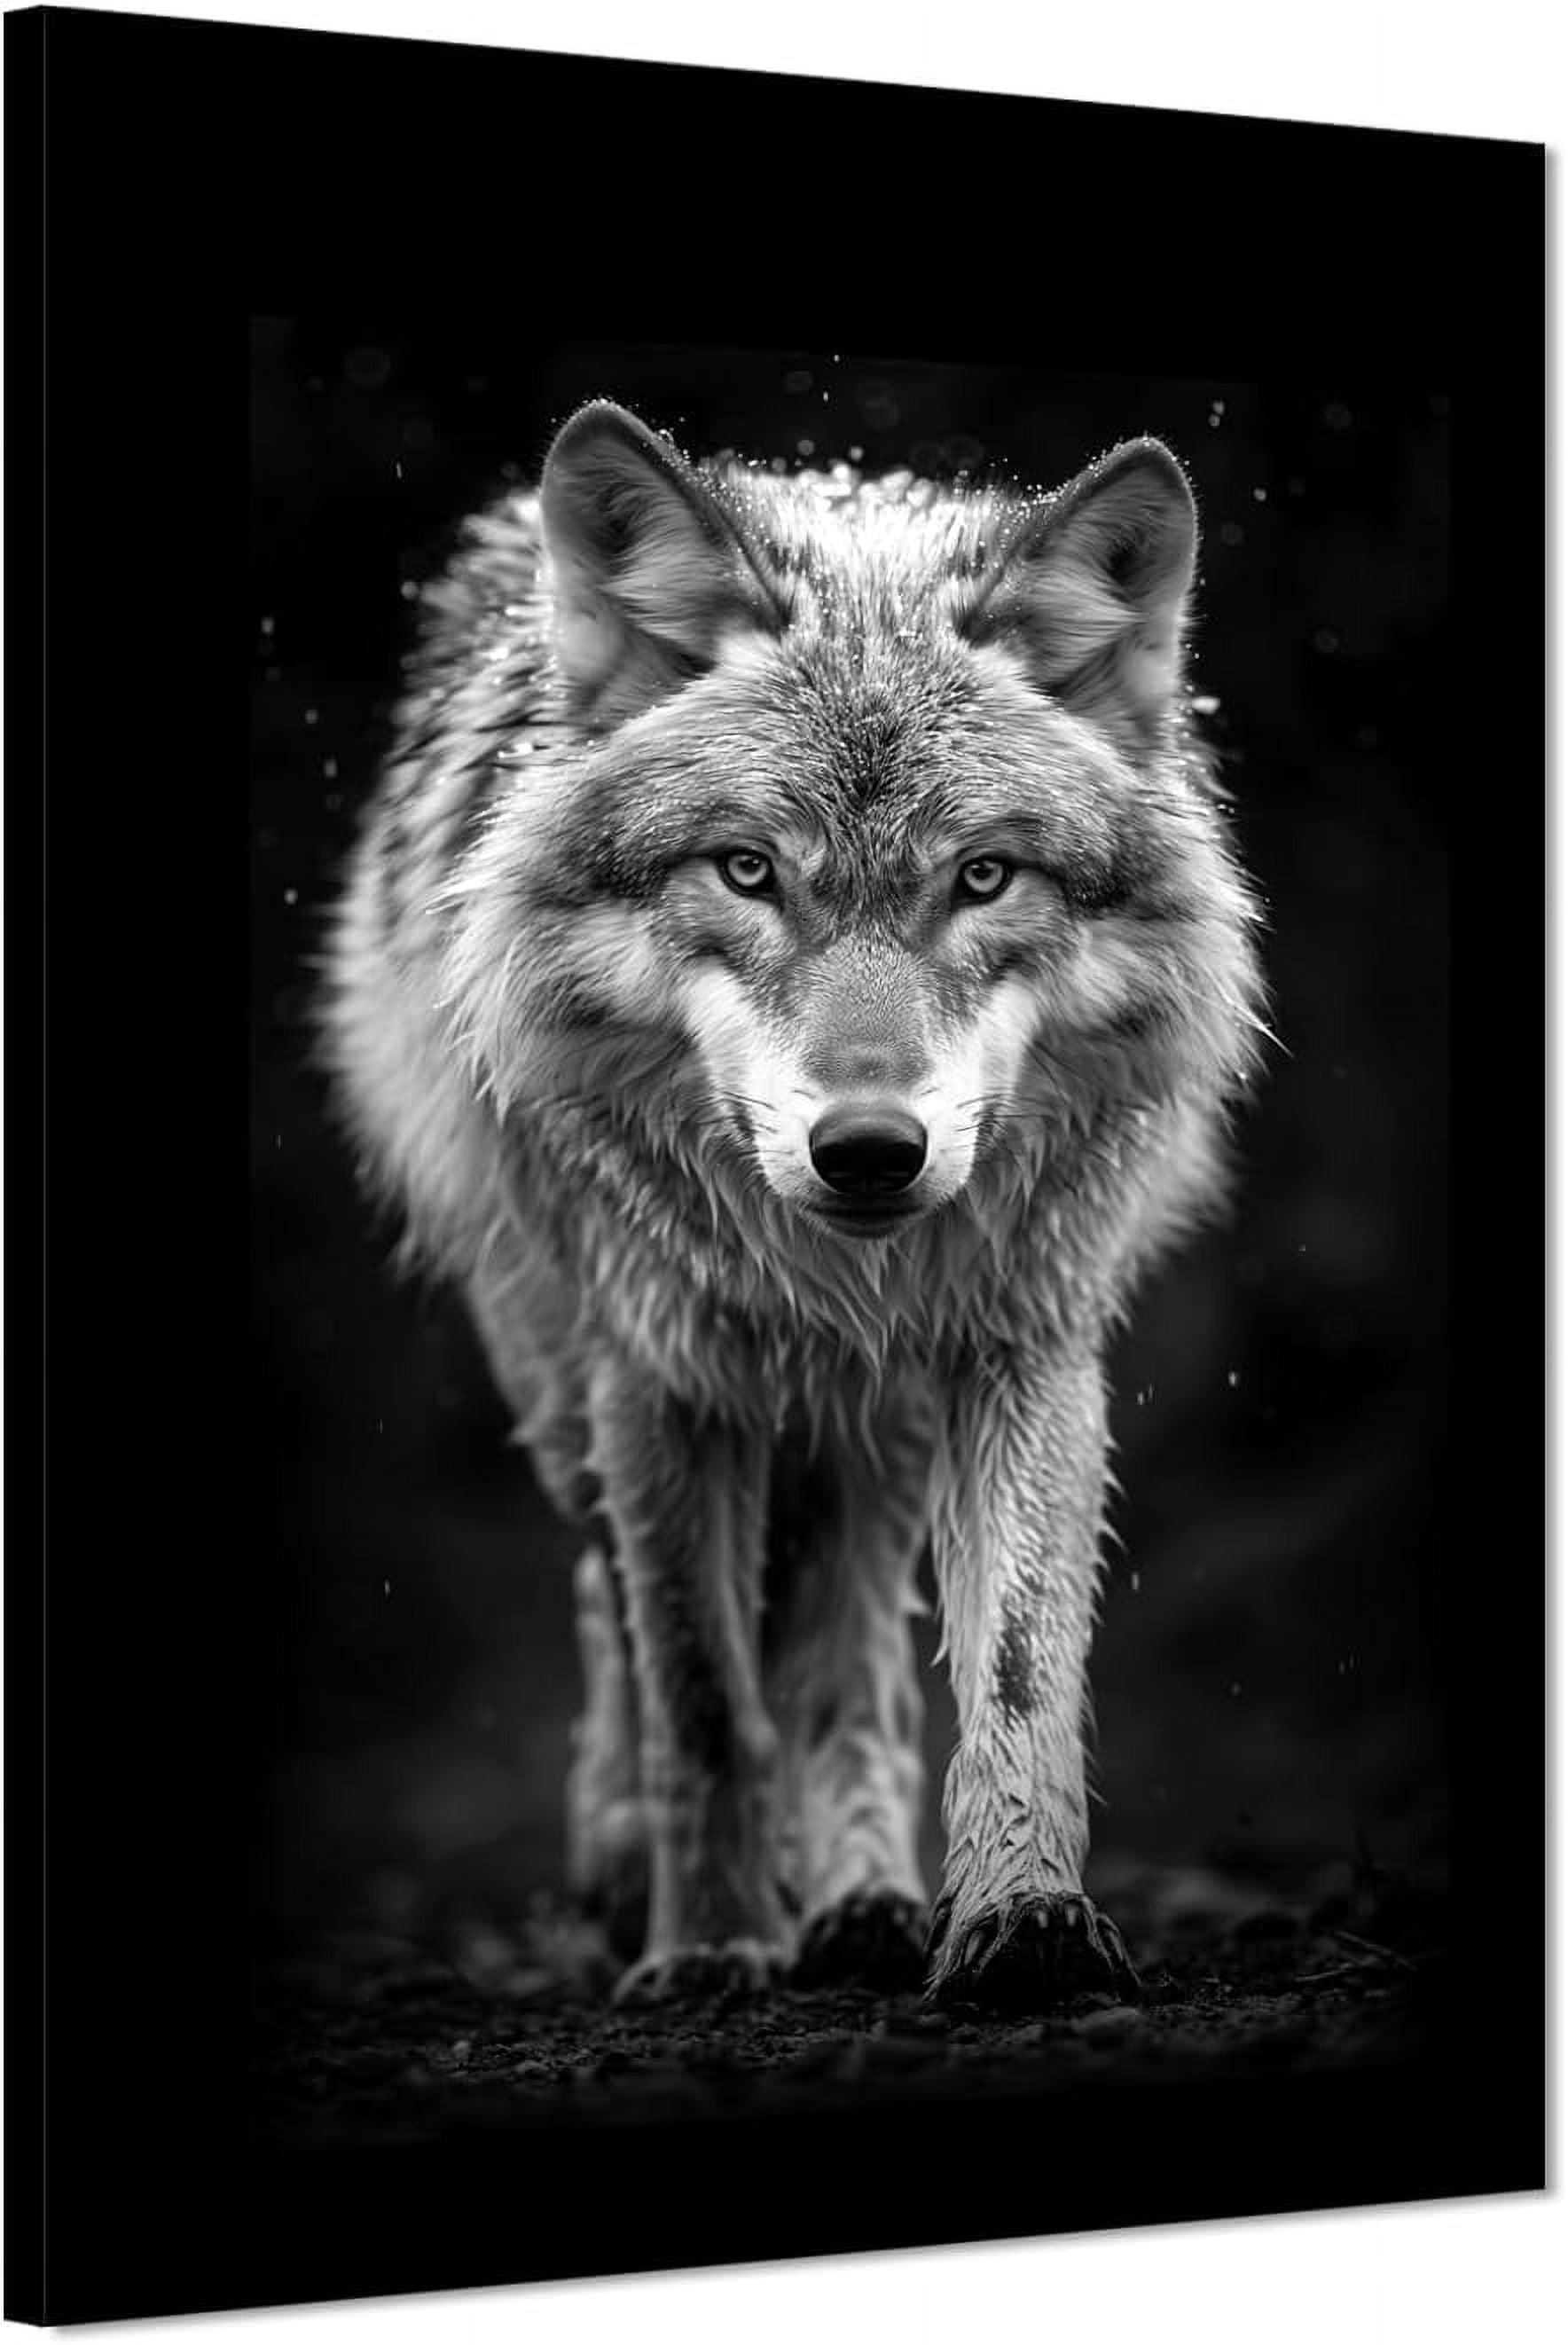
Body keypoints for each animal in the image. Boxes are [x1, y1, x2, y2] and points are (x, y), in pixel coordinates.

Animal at [322, 397, 1266, 2011]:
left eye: (984, 876)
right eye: (748, 869)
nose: (869, 1149)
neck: (836, 1281)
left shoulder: (1022, 1342)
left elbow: (1013, 1661)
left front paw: (1020, 1919)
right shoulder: (656, 1370)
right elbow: (700, 1691)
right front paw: (706, 1943)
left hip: (870, 1430)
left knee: (849, 1665)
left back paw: (867, 1903)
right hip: (563, 1386)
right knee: (617, 1610)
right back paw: (630, 1870)